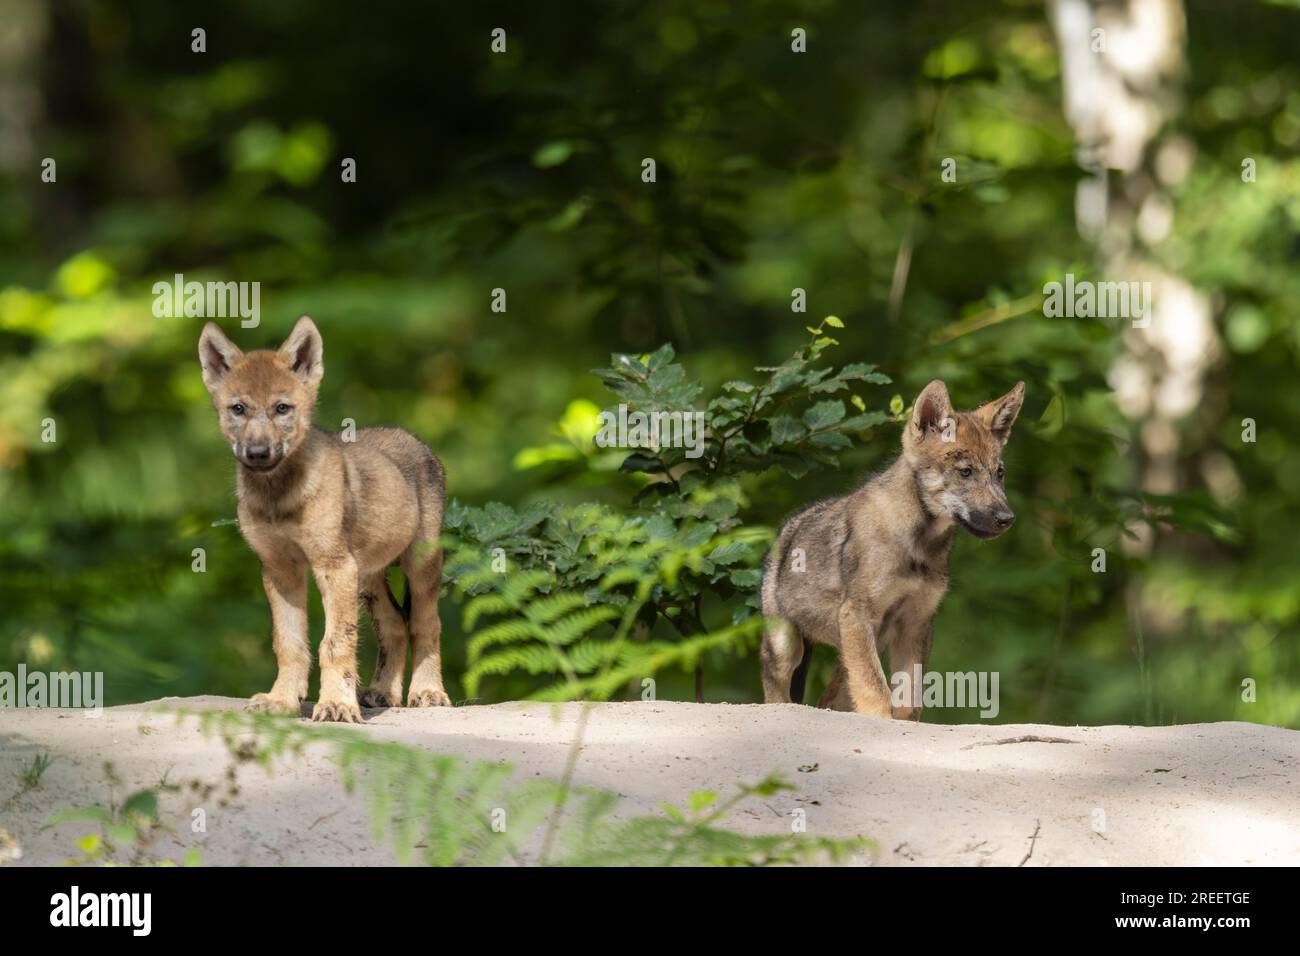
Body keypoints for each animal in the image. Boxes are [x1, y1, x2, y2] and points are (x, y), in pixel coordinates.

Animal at [198, 315, 450, 722]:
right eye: (238, 409)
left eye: (282, 408)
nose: (257, 452)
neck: (278, 498)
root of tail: (413, 438)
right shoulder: (280, 569)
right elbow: (289, 644)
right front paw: (282, 700)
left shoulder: (333, 566)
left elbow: (335, 643)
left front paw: (335, 705)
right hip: (367, 578)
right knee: (395, 624)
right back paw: (383, 692)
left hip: (420, 563)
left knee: (425, 624)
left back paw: (427, 692)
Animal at [760, 379, 1024, 719]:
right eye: (965, 472)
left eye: (999, 473)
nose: (1007, 519)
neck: (918, 546)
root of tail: (786, 528)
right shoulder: (858, 616)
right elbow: (877, 691)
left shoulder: (915, 624)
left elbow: (908, 700)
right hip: (786, 648)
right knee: (778, 695)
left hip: (855, 651)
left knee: (828, 700)